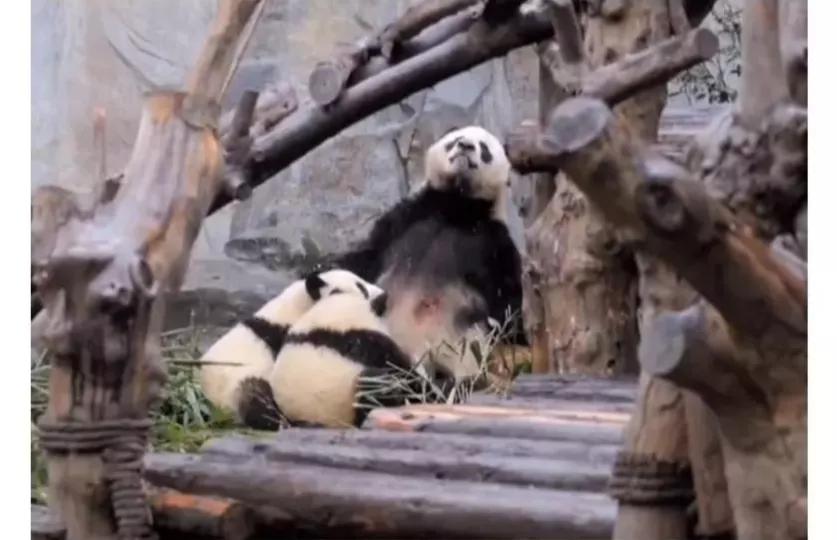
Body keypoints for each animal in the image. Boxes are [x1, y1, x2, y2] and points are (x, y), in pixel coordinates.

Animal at [331, 125, 526, 383]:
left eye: (484, 149)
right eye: (455, 140)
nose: (465, 146)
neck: (458, 206)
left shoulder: (493, 242)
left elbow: (508, 299)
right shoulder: (407, 217)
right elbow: (366, 256)